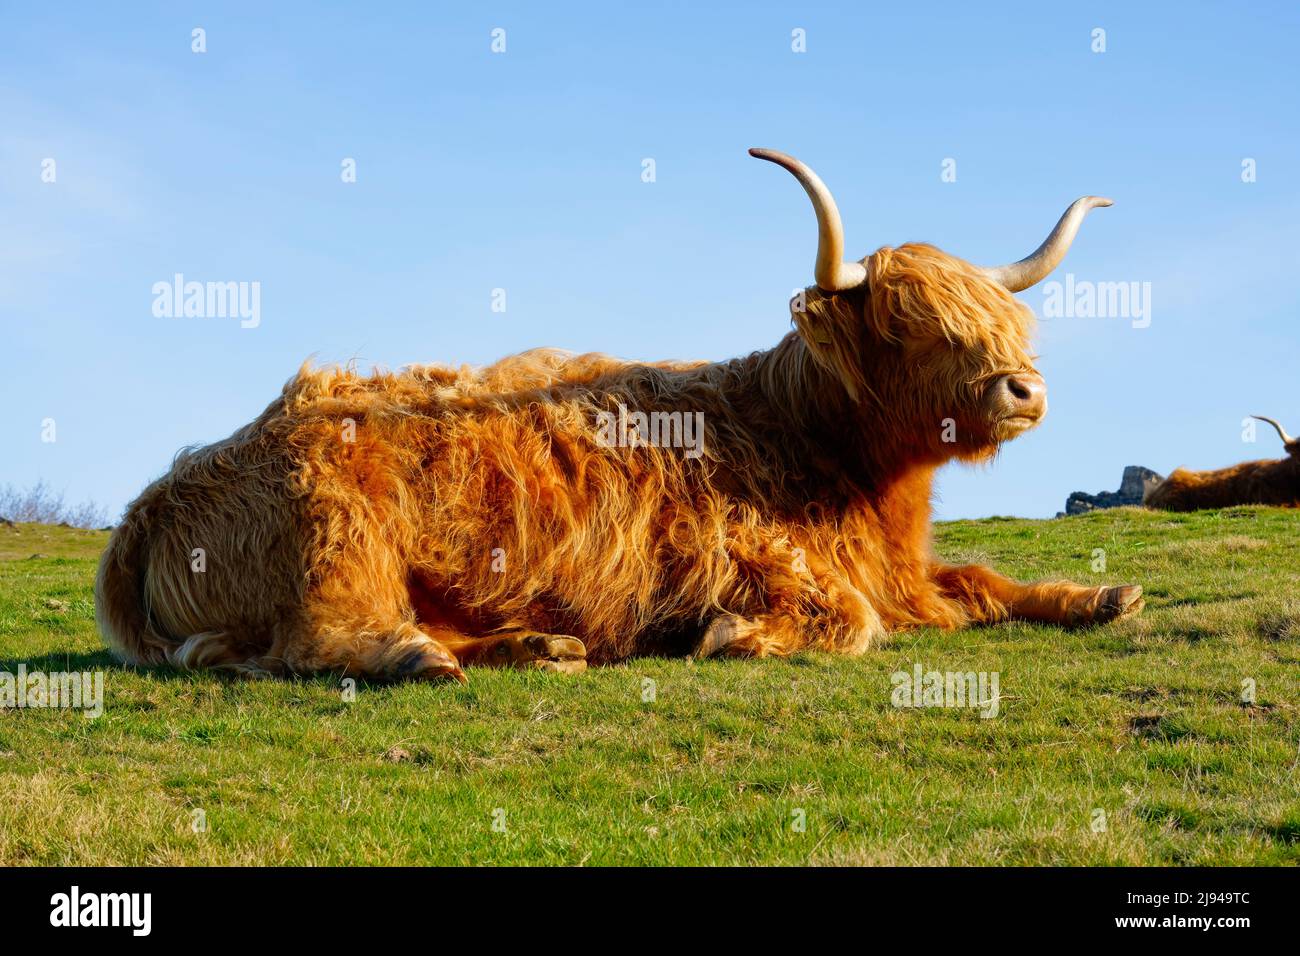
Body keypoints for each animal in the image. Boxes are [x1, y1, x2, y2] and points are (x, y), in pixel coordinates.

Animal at [95, 148, 1143, 682]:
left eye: (1001, 317)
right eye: (906, 324)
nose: (1022, 389)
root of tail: (160, 494)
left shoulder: (905, 569)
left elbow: (981, 582)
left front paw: (1103, 596)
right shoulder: (749, 551)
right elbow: (853, 617)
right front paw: (734, 635)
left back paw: (537, 646)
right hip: (338, 532)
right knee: (325, 638)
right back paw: (426, 657)